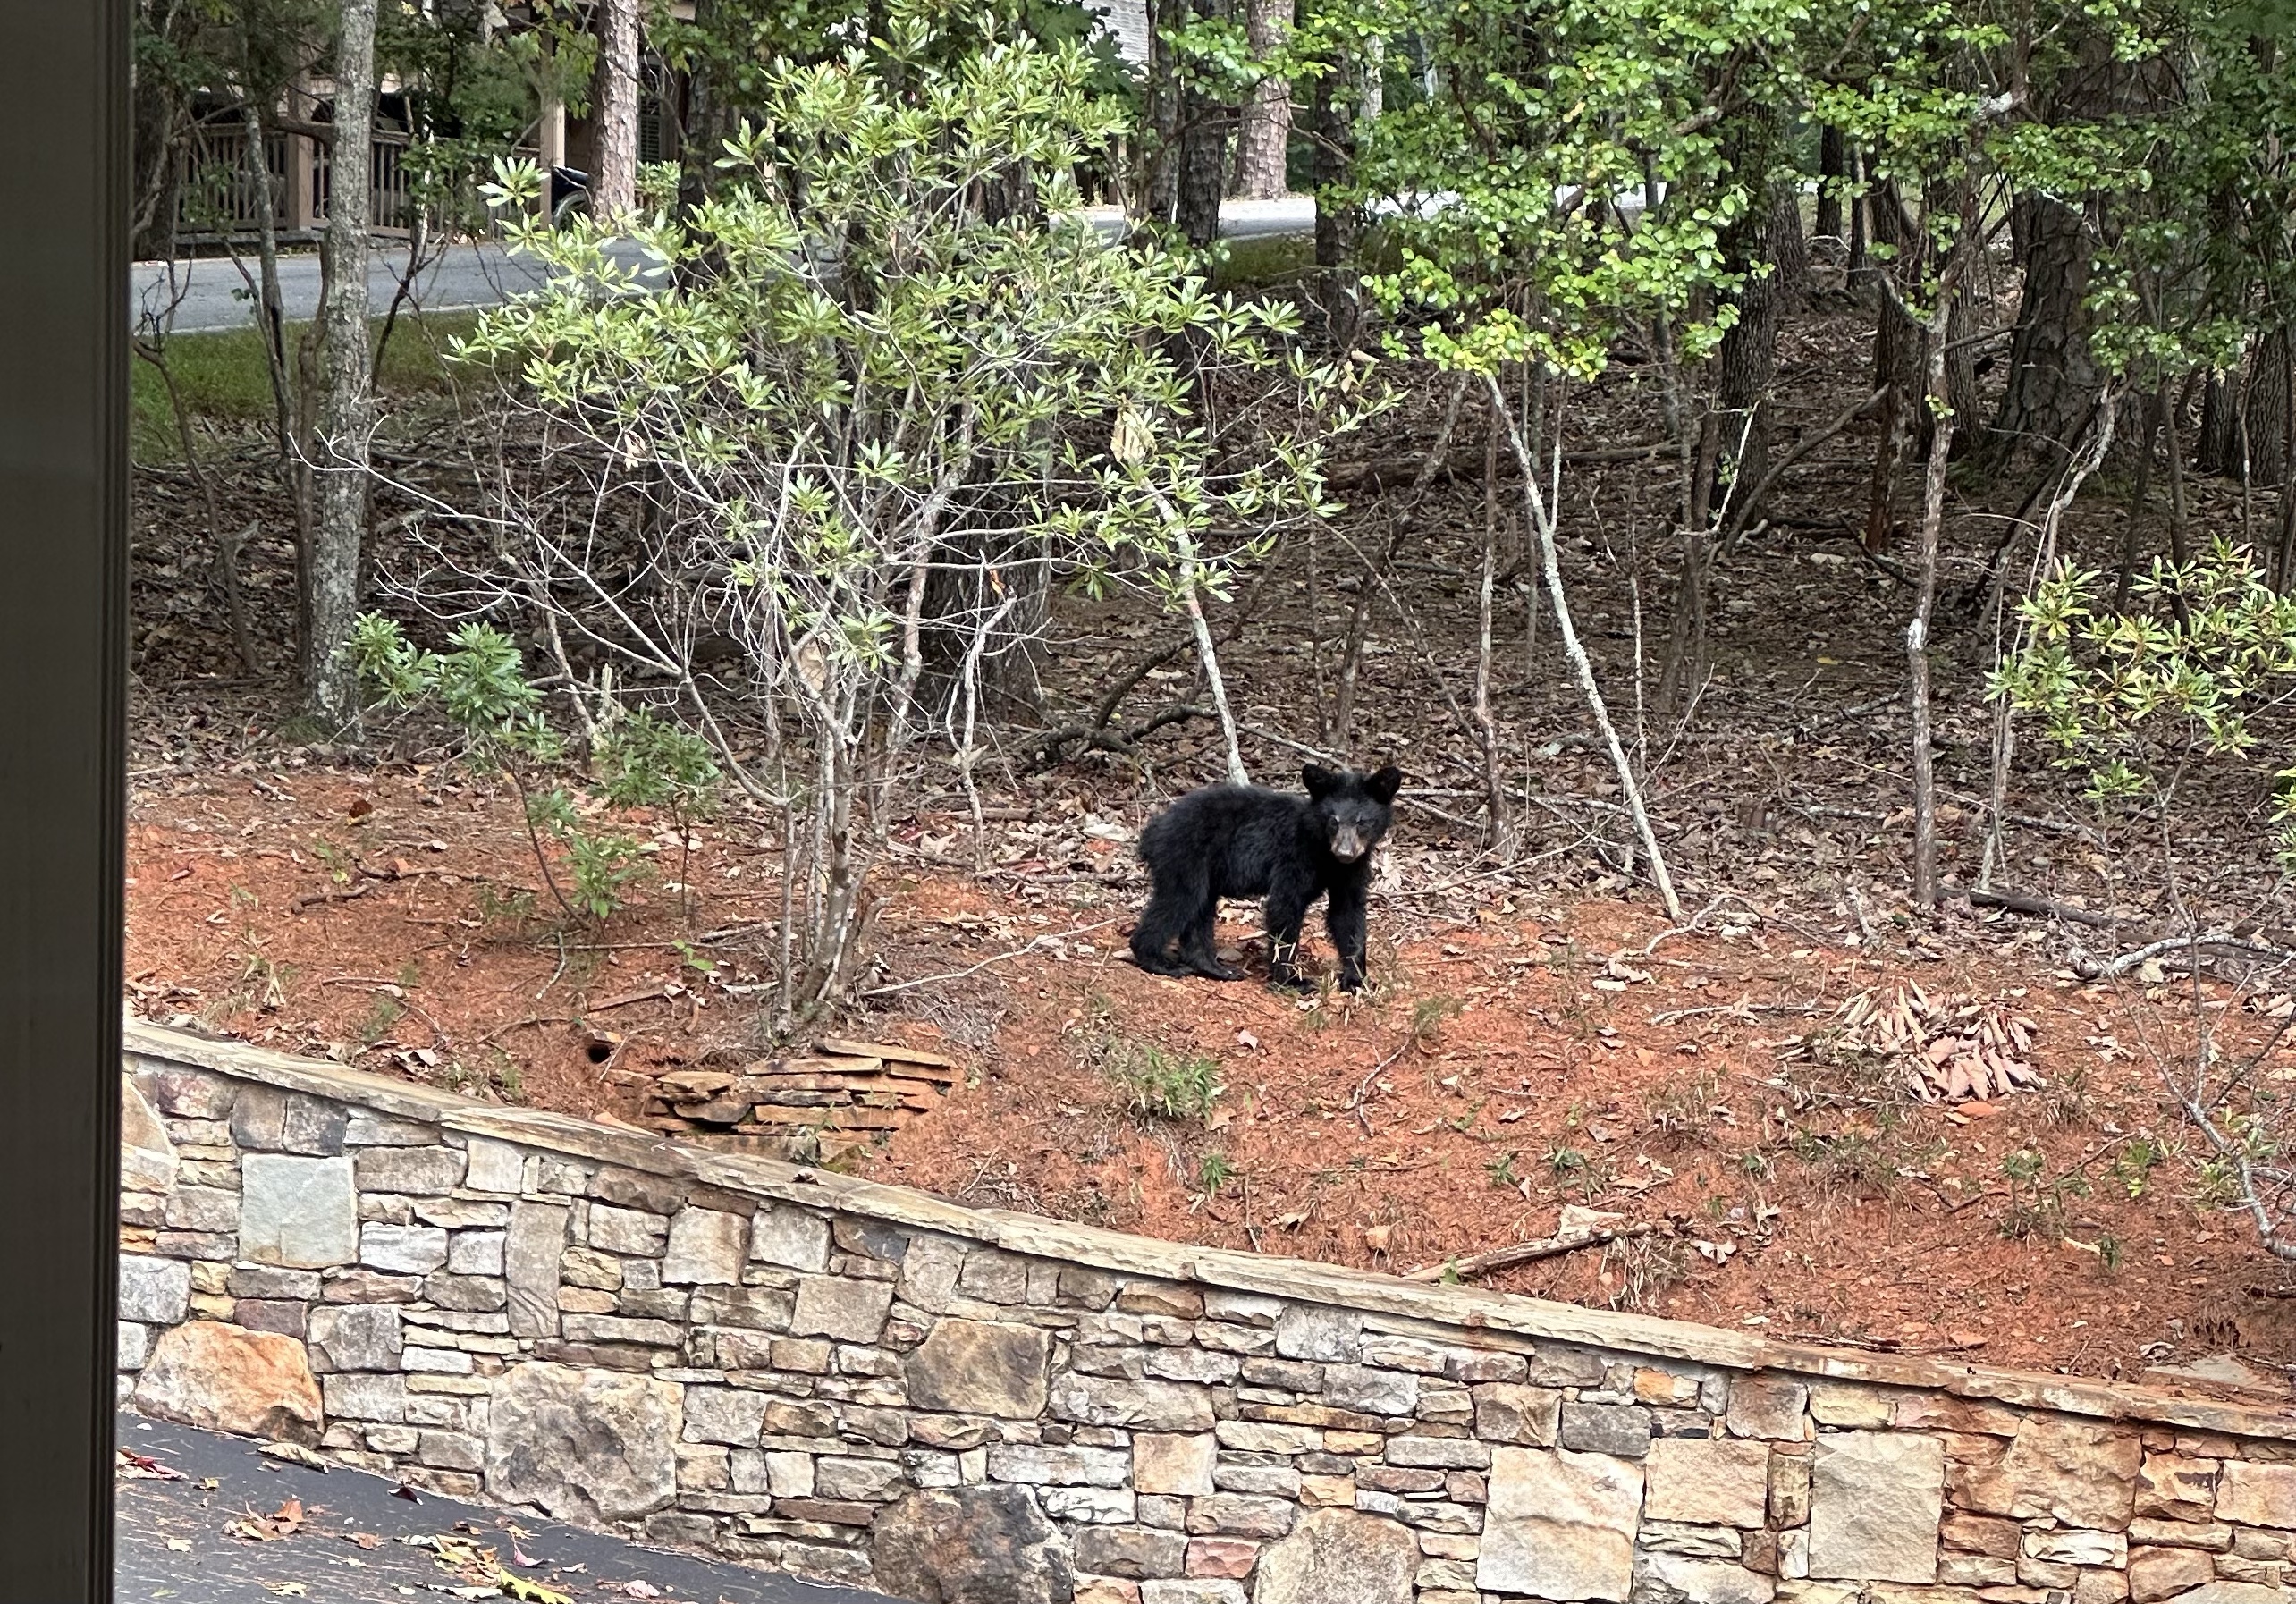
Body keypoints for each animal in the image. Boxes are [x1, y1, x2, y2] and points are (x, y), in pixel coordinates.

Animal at [1129, 763, 1403, 992]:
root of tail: (1152, 830)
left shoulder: (1352, 869)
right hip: (1185, 856)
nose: (1344, 852)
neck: (1326, 855)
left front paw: (1355, 978)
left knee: (1199, 911)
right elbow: (1284, 908)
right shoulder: (1295, 857)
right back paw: (1159, 961)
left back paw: (1216, 967)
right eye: (1333, 821)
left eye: (1362, 822)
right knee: (1180, 900)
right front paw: (1292, 980)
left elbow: (1347, 913)